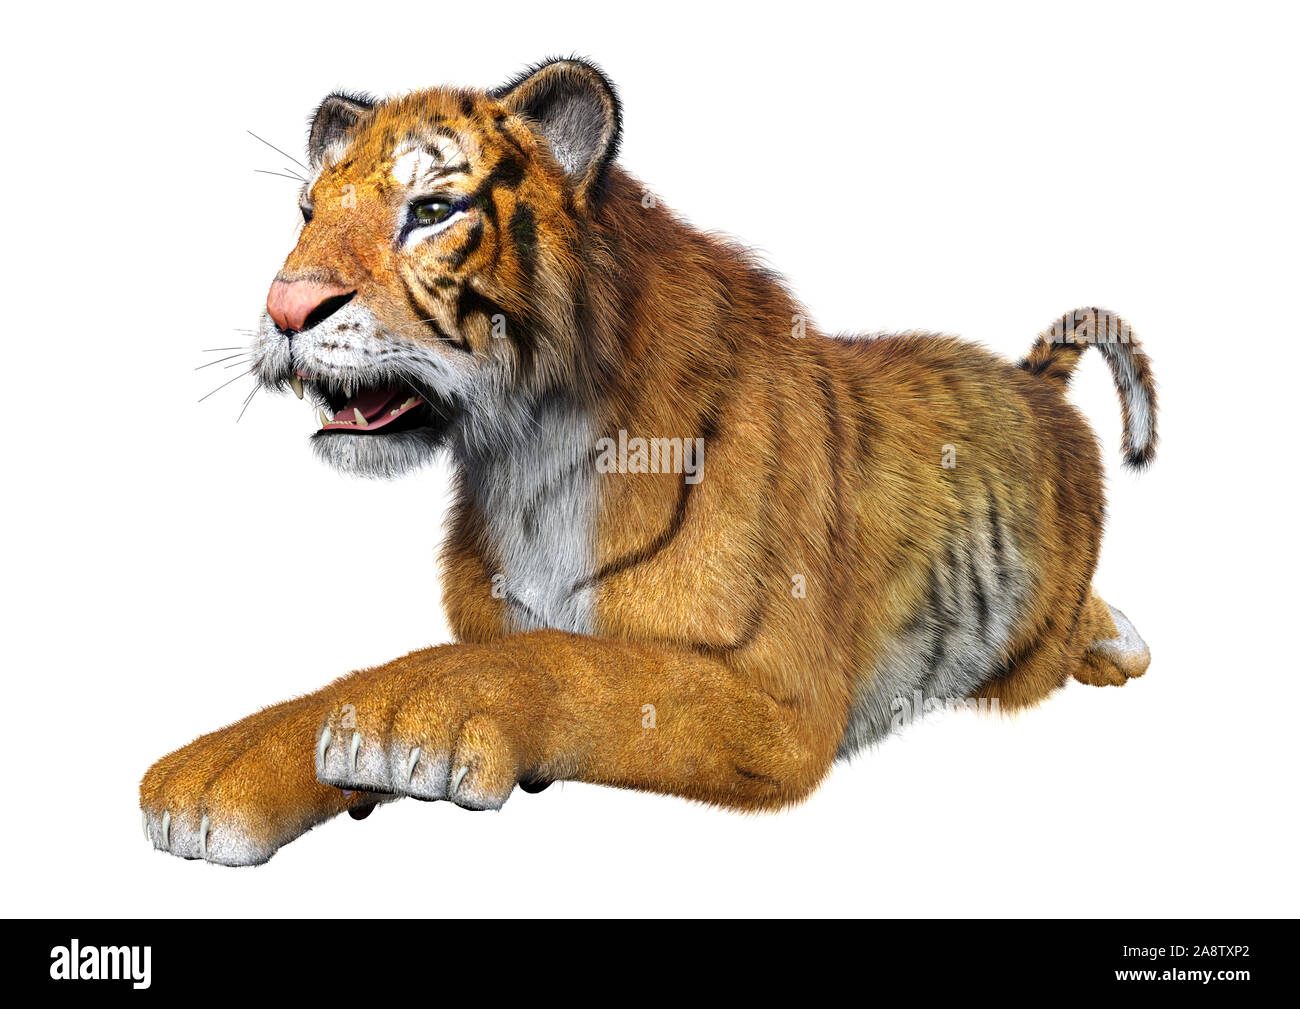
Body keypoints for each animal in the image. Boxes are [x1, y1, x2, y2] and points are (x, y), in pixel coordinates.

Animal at [140, 57, 1157, 865]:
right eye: (307, 212)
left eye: (430, 210)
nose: (282, 309)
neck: (525, 454)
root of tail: (1033, 382)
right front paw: (221, 768)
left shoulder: (777, 702)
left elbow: (566, 664)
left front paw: (400, 715)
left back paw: (1116, 644)